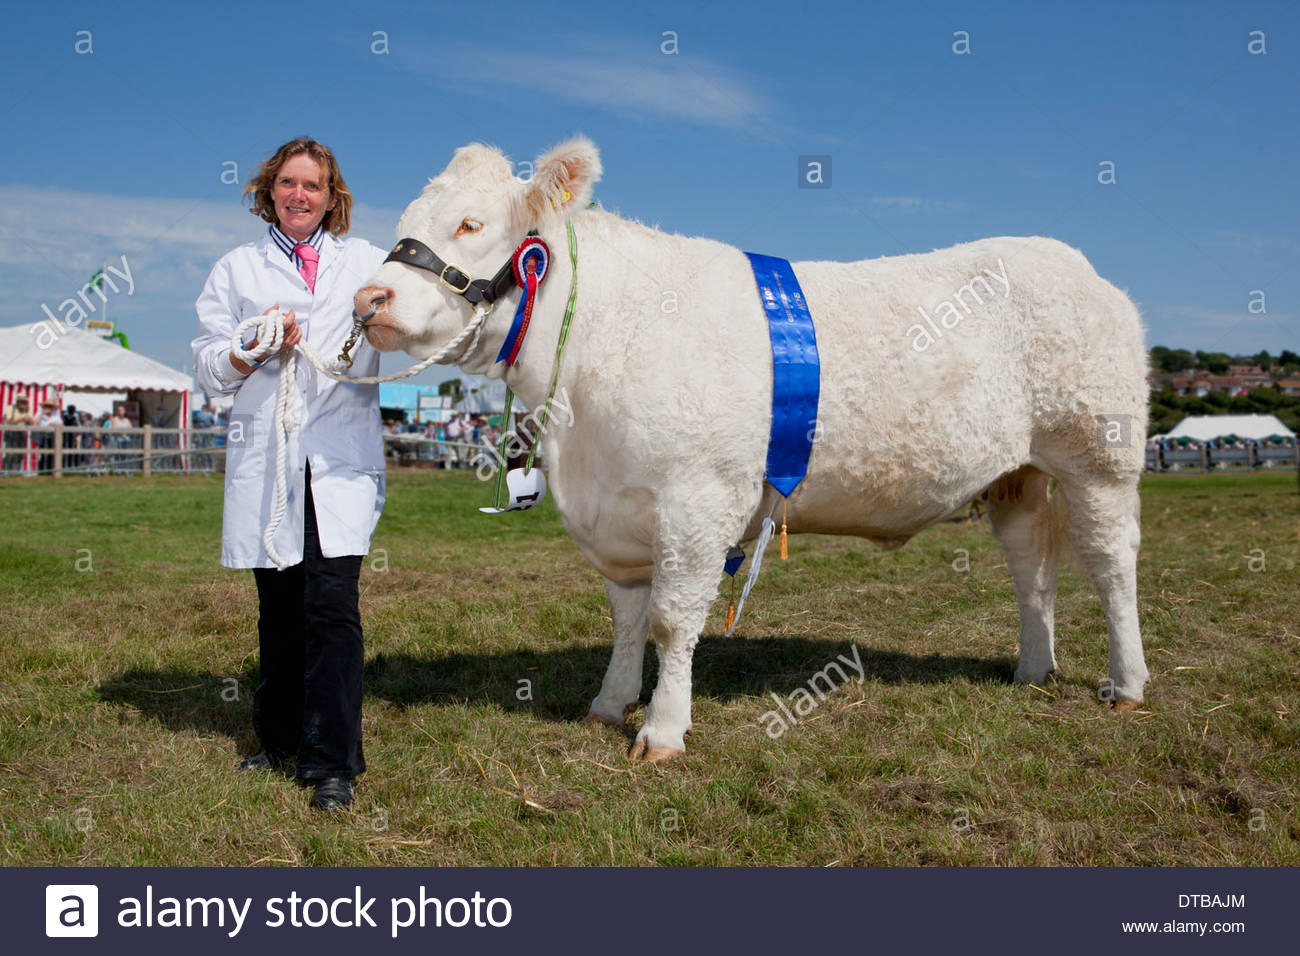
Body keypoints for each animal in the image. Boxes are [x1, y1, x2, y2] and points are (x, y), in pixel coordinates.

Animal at [354, 137, 1150, 761]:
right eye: (405, 223)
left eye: (471, 223)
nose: (368, 300)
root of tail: (1074, 264)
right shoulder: (620, 507)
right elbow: (627, 619)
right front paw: (609, 705)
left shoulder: (698, 499)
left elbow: (672, 620)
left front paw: (663, 731)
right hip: (1018, 473)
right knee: (1032, 568)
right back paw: (1033, 669)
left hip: (1099, 459)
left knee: (1110, 566)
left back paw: (1127, 684)